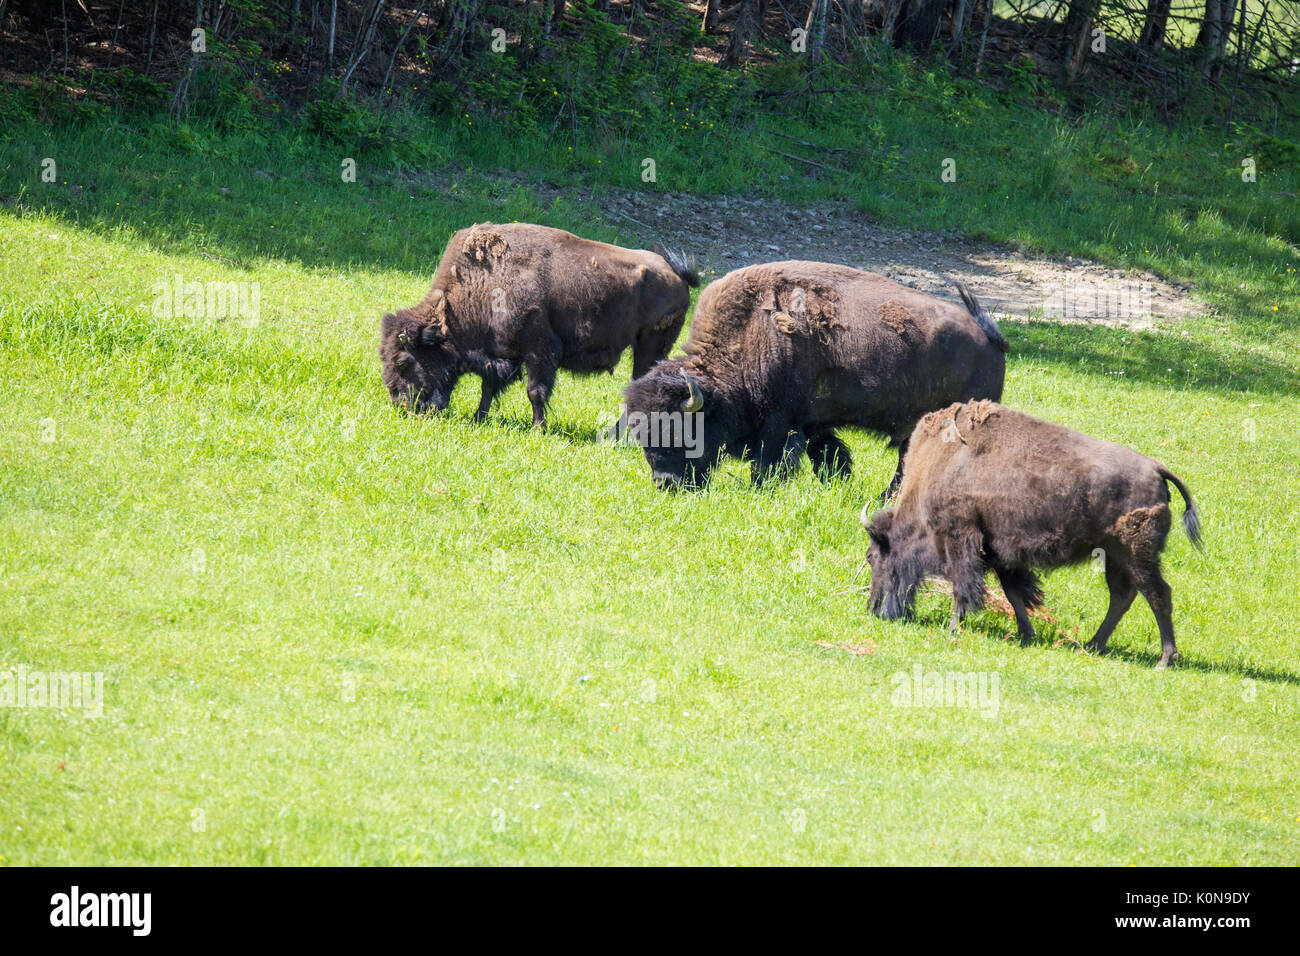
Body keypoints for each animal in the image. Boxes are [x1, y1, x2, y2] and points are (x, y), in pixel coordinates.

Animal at [380, 222, 698, 429]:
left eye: (402, 362)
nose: (403, 407)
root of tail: (676, 274)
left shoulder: (539, 350)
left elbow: (535, 391)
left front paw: (538, 428)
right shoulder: (499, 354)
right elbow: (488, 386)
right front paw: (478, 418)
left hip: (650, 346)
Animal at [622, 261, 1008, 491]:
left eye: (679, 431)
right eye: (640, 433)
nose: (665, 483)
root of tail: (989, 337)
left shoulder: (779, 423)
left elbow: (771, 461)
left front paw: (762, 487)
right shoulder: (813, 423)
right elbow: (828, 455)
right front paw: (835, 485)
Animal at [862, 400, 1202, 668]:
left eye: (873, 557)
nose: (873, 609)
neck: (942, 464)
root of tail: (1157, 468)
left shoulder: (962, 540)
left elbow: (964, 588)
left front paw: (953, 628)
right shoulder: (999, 553)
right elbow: (1014, 593)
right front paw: (1026, 634)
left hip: (1136, 554)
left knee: (1157, 594)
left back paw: (1164, 659)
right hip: (1115, 555)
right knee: (1123, 595)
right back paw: (1093, 645)